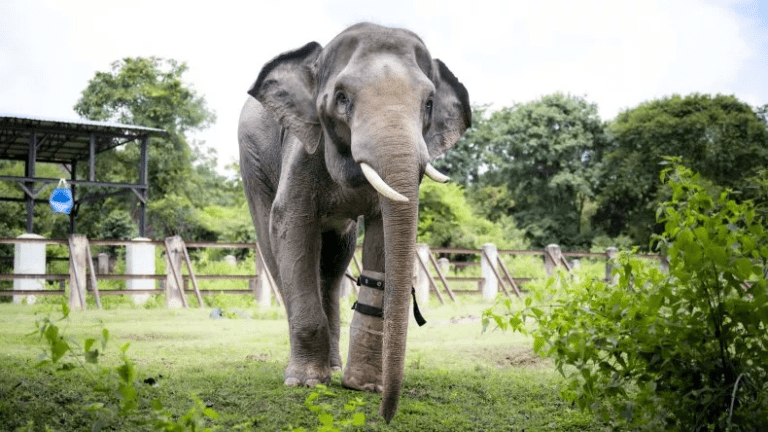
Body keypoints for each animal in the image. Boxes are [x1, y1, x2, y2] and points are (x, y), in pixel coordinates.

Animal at [238, 22, 470, 422]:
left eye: (428, 103)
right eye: (342, 98)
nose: (385, 415)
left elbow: (381, 234)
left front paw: (363, 386)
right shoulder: (303, 148)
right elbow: (291, 224)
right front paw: (306, 384)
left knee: (334, 264)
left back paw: (332, 367)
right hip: (250, 160)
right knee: (275, 250)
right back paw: (307, 372)